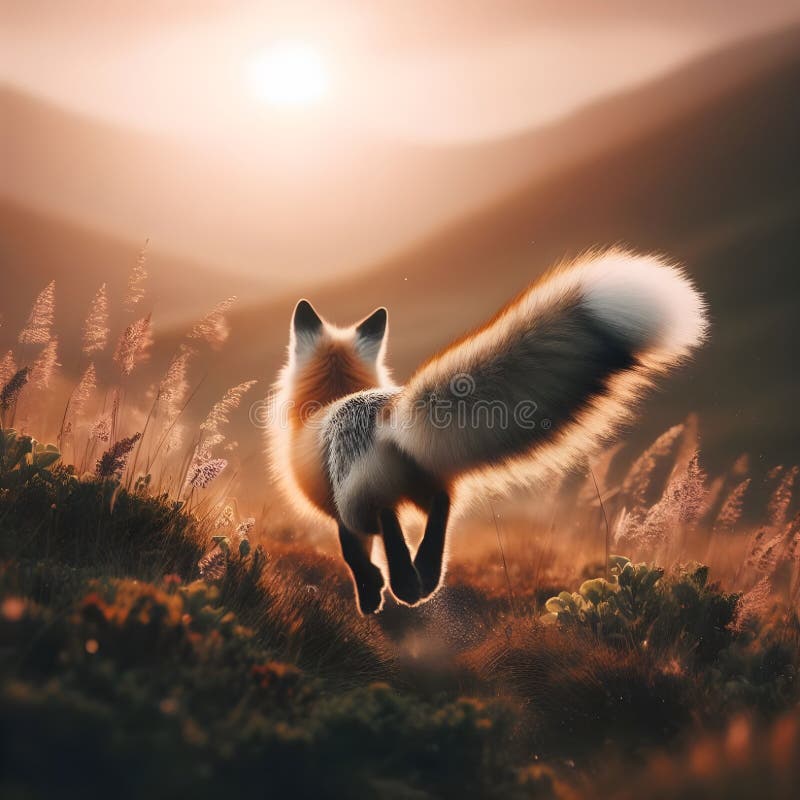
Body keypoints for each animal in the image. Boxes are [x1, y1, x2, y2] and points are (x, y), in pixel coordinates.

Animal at [269, 249, 708, 614]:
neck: (333, 396)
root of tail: (389, 409)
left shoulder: (338, 513)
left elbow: (354, 558)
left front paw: (369, 594)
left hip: (361, 500)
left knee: (391, 524)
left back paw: (406, 585)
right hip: (425, 483)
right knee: (442, 508)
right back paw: (426, 576)